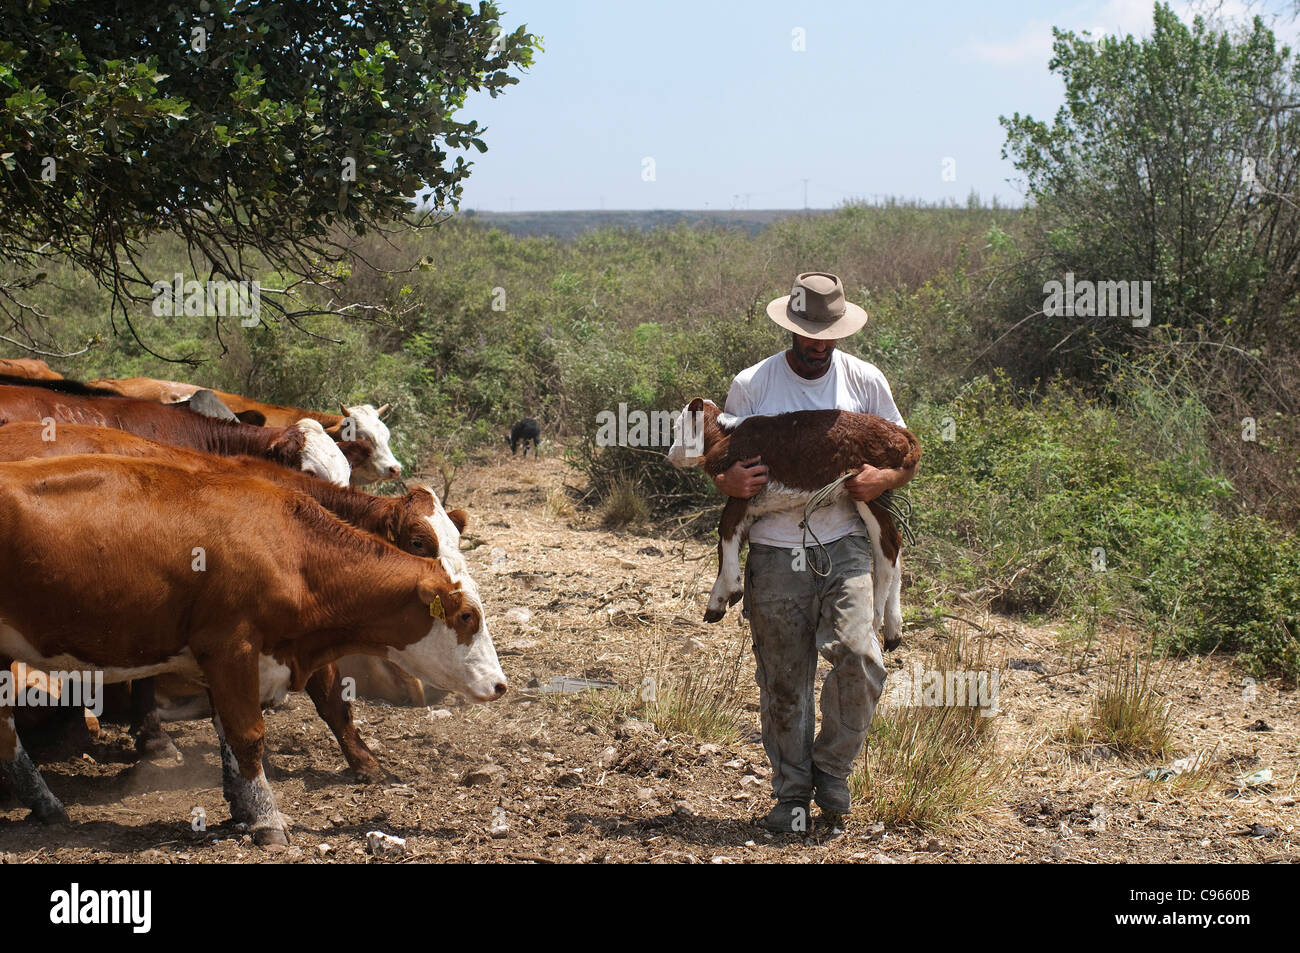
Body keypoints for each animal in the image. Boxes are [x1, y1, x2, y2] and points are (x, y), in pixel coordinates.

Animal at [0, 454, 505, 845]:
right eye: (467, 616)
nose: (500, 685)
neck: (292, 551)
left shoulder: (229, 662)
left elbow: (230, 732)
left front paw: (244, 806)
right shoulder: (232, 647)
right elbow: (248, 734)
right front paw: (267, 818)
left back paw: (46, 804)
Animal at [667, 398, 922, 649]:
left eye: (678, 428)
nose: (670, 455)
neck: (727, 434)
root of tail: (899, 431)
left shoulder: (744, 489)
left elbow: (726, 530)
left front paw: (729, 590)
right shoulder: (748, 499)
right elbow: (727, 540)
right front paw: (717, 601)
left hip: (868, 488)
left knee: (888, 547)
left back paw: (875, 619)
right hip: (881, 493)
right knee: (895, 547)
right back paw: (893, 628)